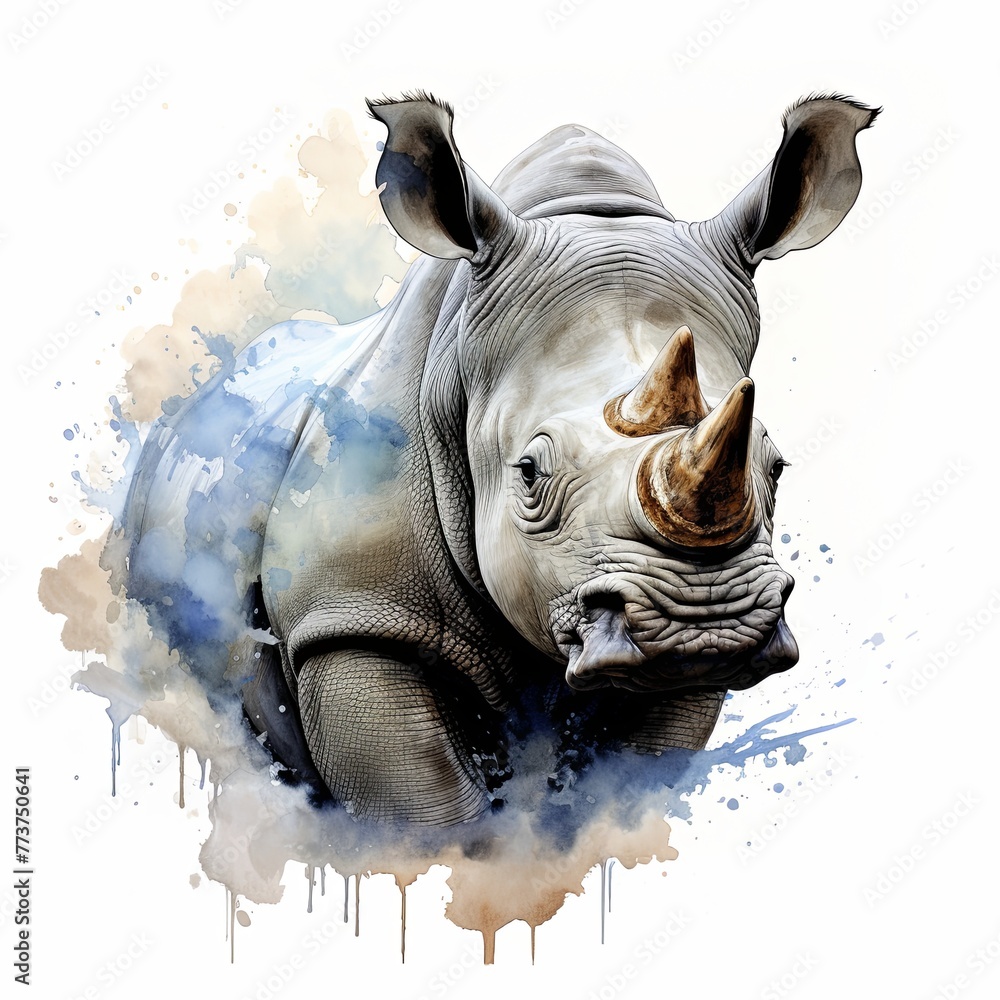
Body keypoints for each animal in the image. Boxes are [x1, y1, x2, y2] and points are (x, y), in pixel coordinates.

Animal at [115, 92, 877, 826]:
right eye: (529, 474)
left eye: (774, 468)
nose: (704, 624)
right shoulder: (351, 615)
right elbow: (426, 816)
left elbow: (622, 792)